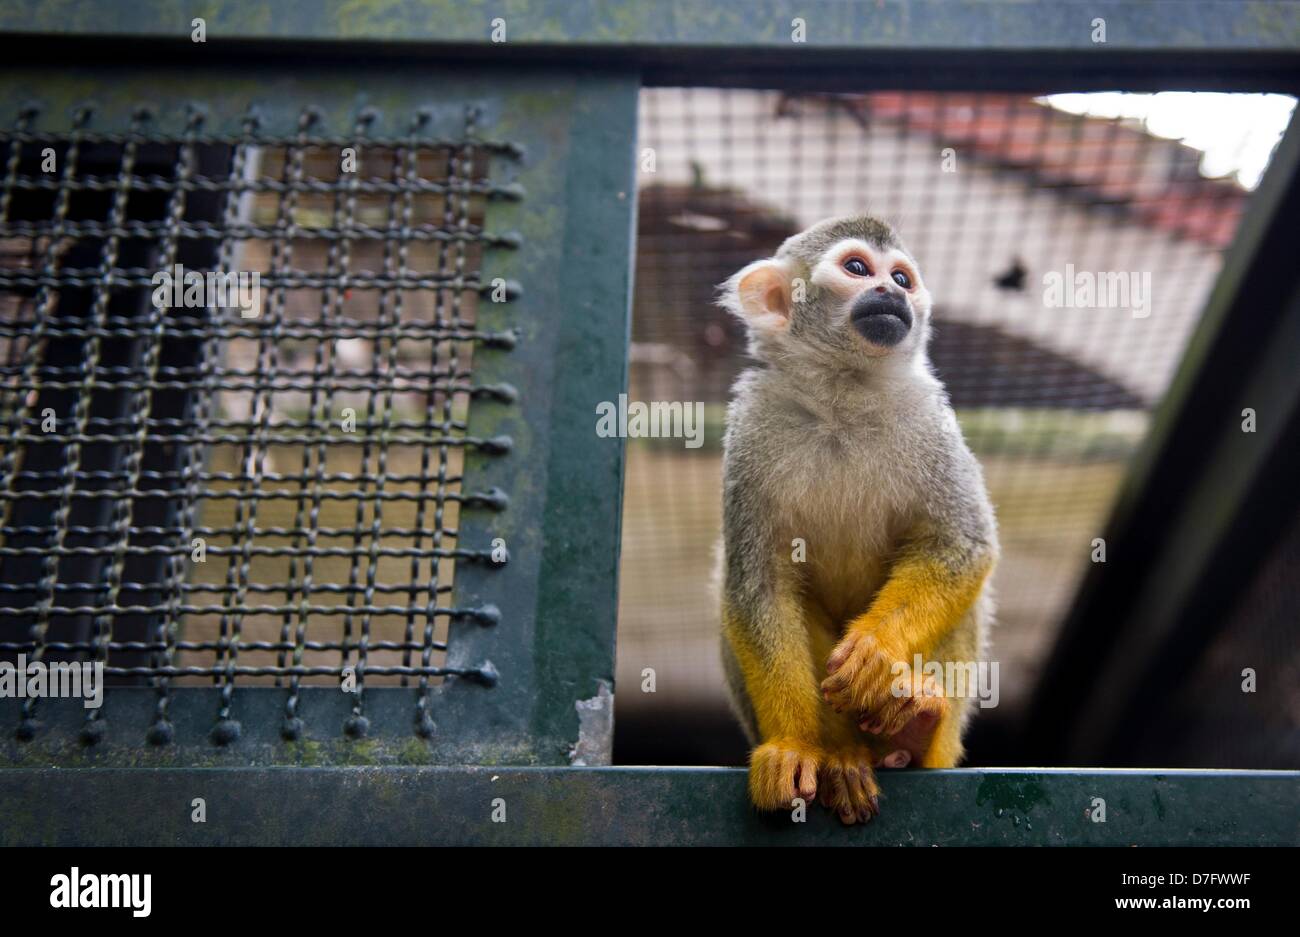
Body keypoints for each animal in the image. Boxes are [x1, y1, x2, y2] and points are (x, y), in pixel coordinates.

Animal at [717, 214, 998, 825]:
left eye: (902, 276)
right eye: (857, 268)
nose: (893, 293)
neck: (841, 396)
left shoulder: (930, 417)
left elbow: (962, 544)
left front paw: (875, 652)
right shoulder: (752, 425)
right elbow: (757, 584)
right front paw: (796, 745)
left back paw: (917, 733)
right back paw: (844, 756)